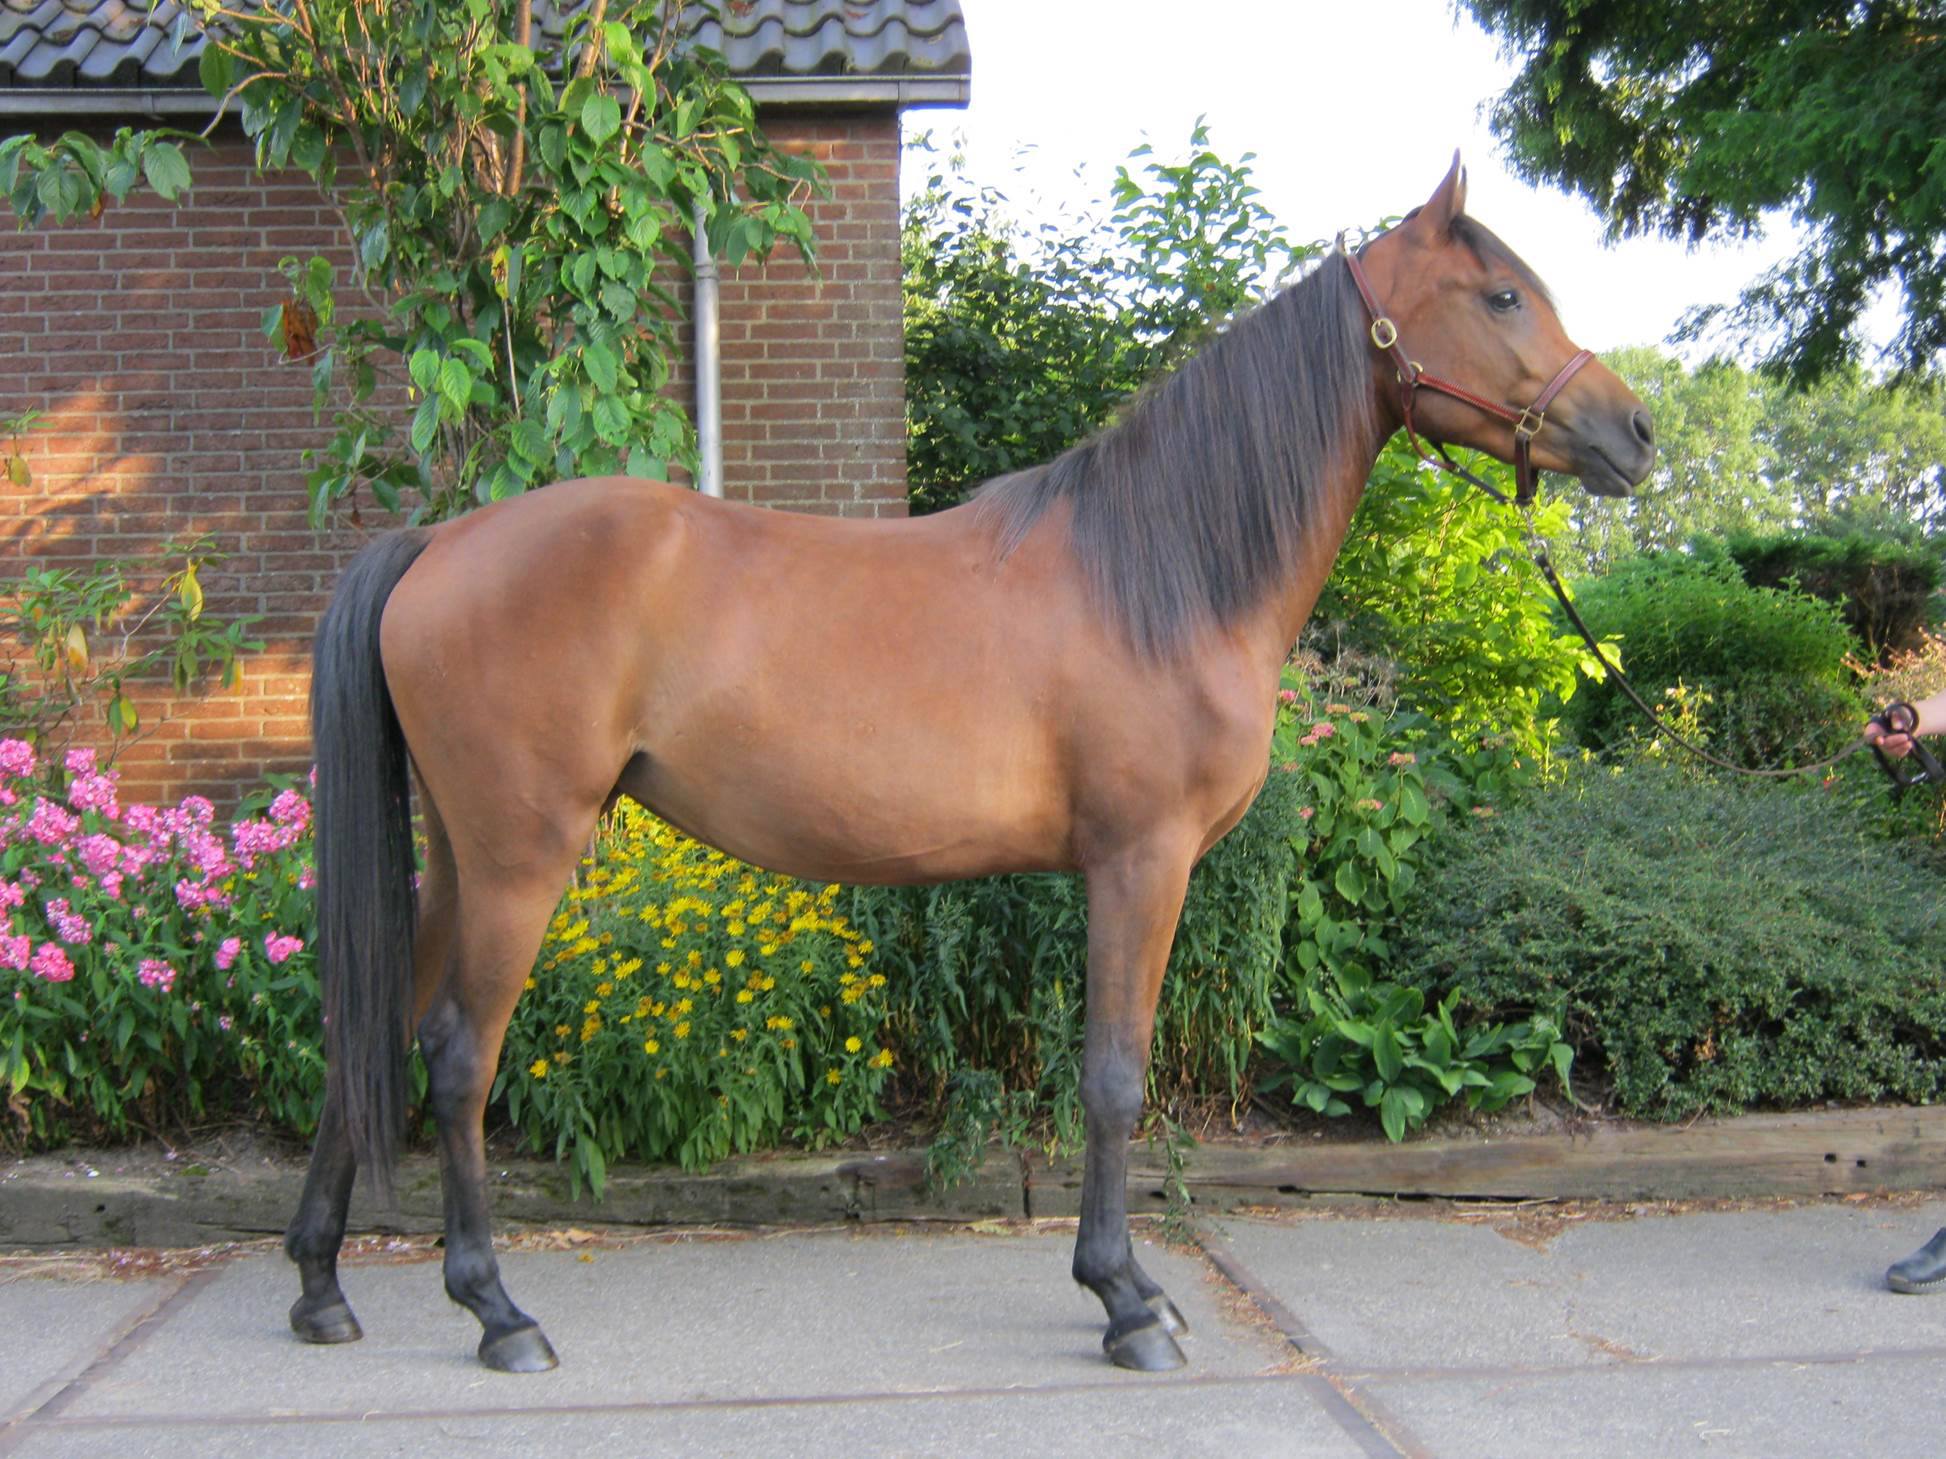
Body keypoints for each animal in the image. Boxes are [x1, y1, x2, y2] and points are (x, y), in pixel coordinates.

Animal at [284, 155, 1655, 1374]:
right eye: (1500, 296)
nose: (1634, 430)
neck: (1158, 571)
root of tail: (441, 540)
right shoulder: (1138, 863)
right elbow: (1113, 1078)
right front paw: (1124, 1301)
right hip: (521, 855)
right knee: (456, 1051)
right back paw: (494, 1311)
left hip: (460, 852)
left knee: (372, 1021)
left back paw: (319, 1286)